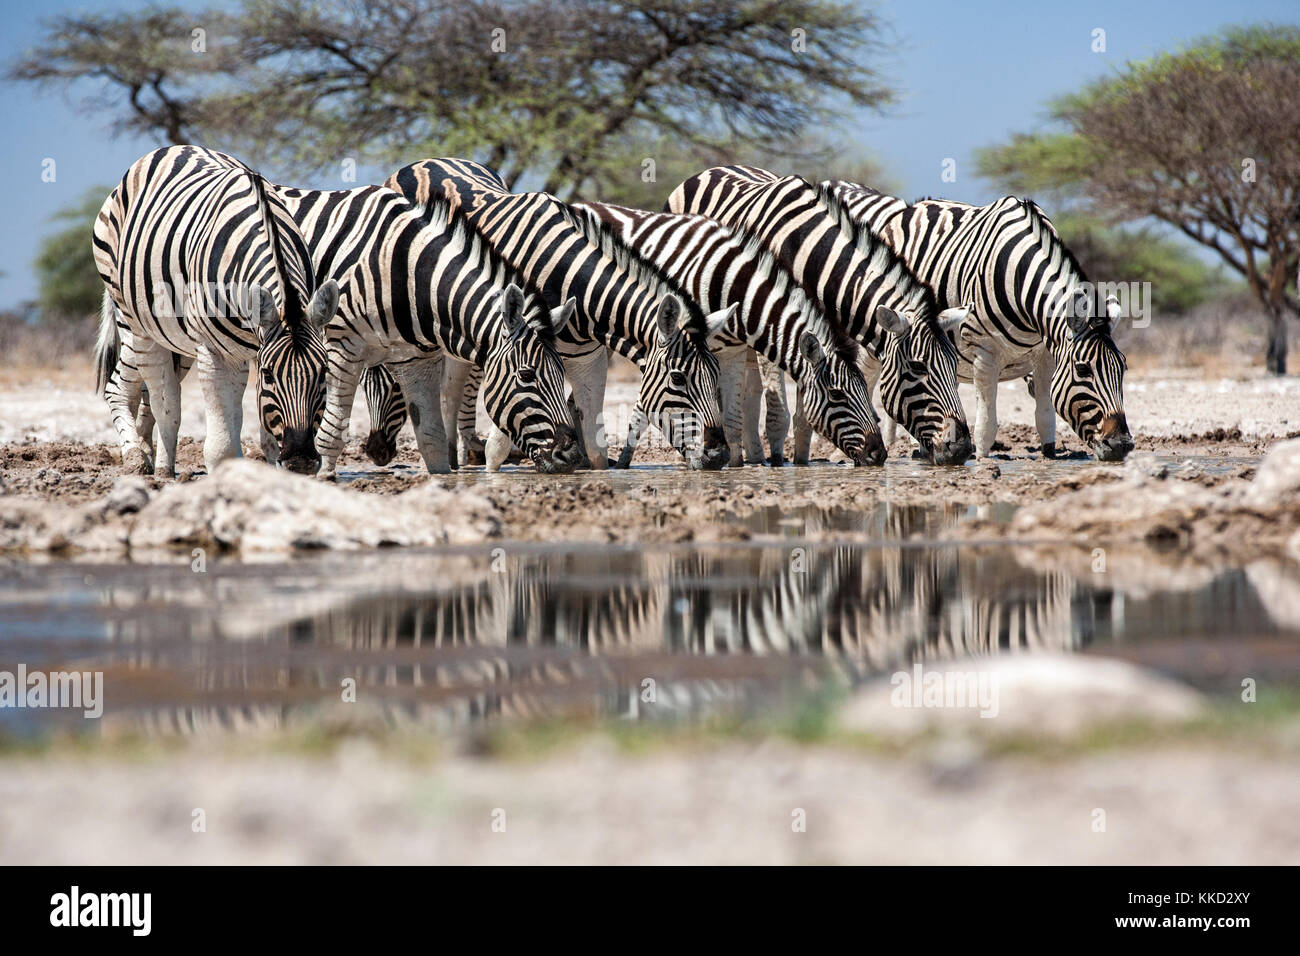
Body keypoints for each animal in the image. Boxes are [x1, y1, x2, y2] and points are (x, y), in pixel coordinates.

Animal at [91, 146, 338, 477]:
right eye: (269, 375)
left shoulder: (252, 349)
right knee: (156, 399)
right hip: (138, 326)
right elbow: (223, 448)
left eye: (323, 372)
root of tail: (167, 150)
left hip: (178, 343)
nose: (301, 461)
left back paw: (149, 454)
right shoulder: (217, 352)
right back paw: (147, 462)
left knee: (144, 393)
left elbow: (262, 430)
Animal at [385, 158, 734, 470]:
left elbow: (594, 447)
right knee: (449, 391)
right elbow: (497, 450)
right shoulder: (511, 354)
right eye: (678, 378)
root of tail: (428, 160)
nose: (719, 457)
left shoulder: (589, 358)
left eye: (717, 373)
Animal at [572, 200, 885, 466]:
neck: (731, 286)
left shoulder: (731, 352)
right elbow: (655, 408)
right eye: (837, 395)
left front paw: (732, 466)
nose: (878, 454)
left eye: (863, 389)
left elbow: (731, 418)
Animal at [666, 166, 975, 466]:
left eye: (953, 365)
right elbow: (778, 413)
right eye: (917, 368)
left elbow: (807, 412)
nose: (961, 449)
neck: (809, 252)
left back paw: (751, 455)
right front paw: (780, 464)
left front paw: (802, 463)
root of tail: (712, 169)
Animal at [821, 183, 1133, 461]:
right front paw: (982, 464)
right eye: (1083, 369)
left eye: (1123, 367)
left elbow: (1045, 417)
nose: (1122, 445)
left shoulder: (1045, 354)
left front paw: (1049, 457)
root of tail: (909, 209)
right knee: (869, 379)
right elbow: (986, 426)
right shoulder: (986, 354)